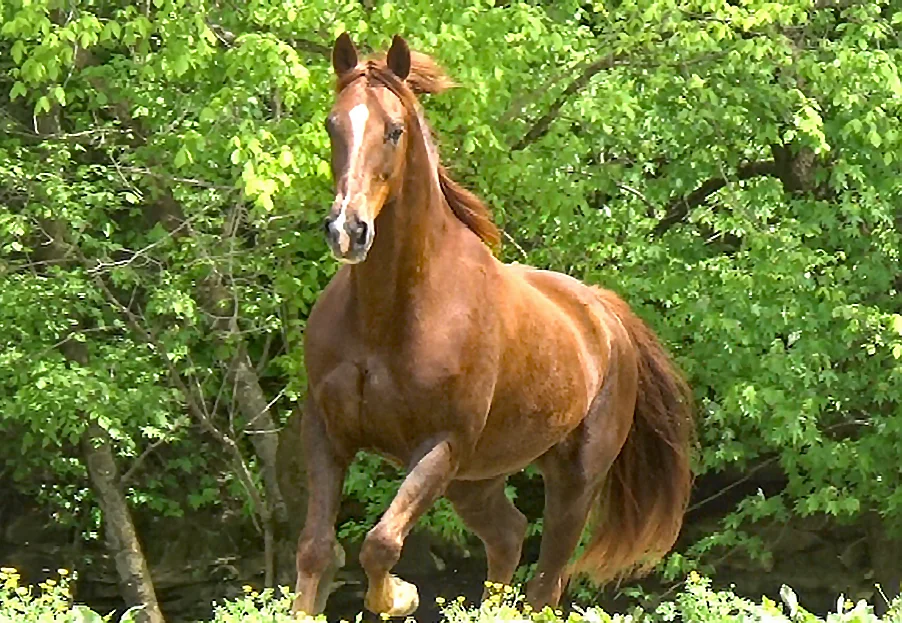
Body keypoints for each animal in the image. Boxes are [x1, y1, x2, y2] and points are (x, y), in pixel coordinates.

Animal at [291, 33, 694, 618]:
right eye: (332, 124)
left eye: (394, 129)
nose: (348, 229)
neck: (388, 316)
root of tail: (604, 313)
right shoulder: (327, 433)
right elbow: (318, 550)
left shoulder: (440, 447)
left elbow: (380, 544)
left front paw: (401, 596)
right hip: (476, 481)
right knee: (508, 536)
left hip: (572, 482)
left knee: (546, 582)